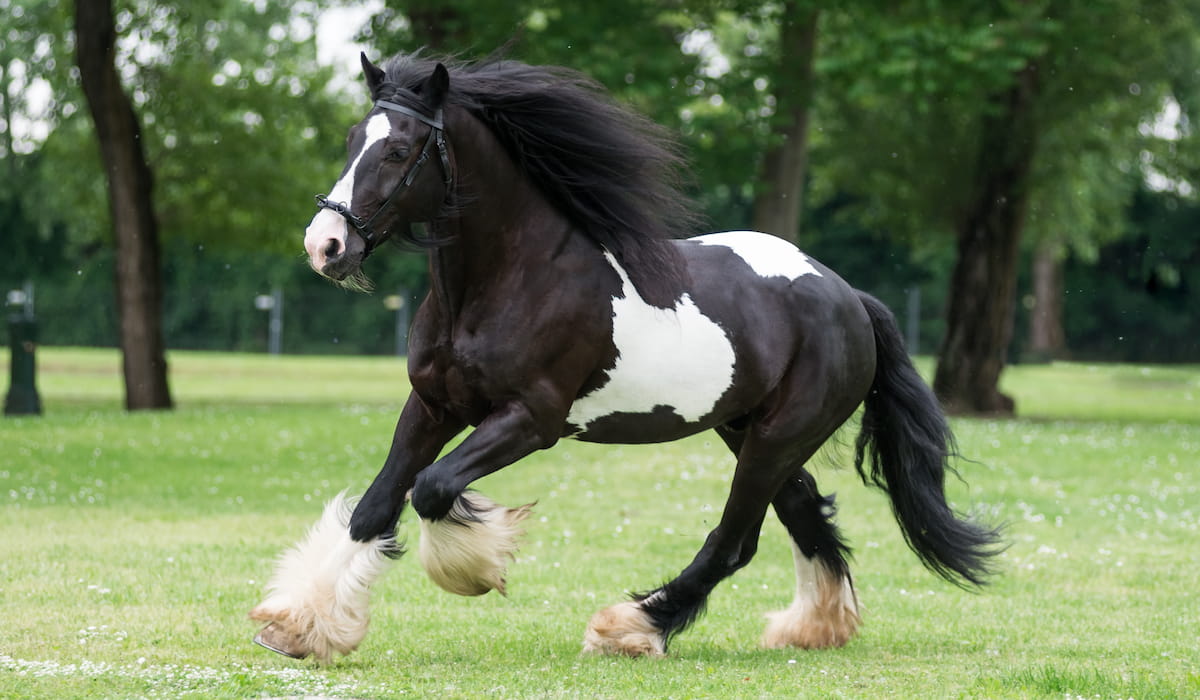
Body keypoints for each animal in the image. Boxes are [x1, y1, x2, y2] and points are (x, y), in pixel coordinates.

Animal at [249, 51, 1003, 663]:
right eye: (353, 140)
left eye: (401, 150)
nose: (325, 245)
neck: (510, 279)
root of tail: (849, 296)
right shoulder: (433, 405)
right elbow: (377, 506)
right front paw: (301, 626)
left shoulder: (531, 420)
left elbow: (433, 488)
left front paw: (477, 566)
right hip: (750, 431)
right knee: (806, 512)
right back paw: (814, 627)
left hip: (779, 437)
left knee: (736, 541)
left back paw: (631, 627)